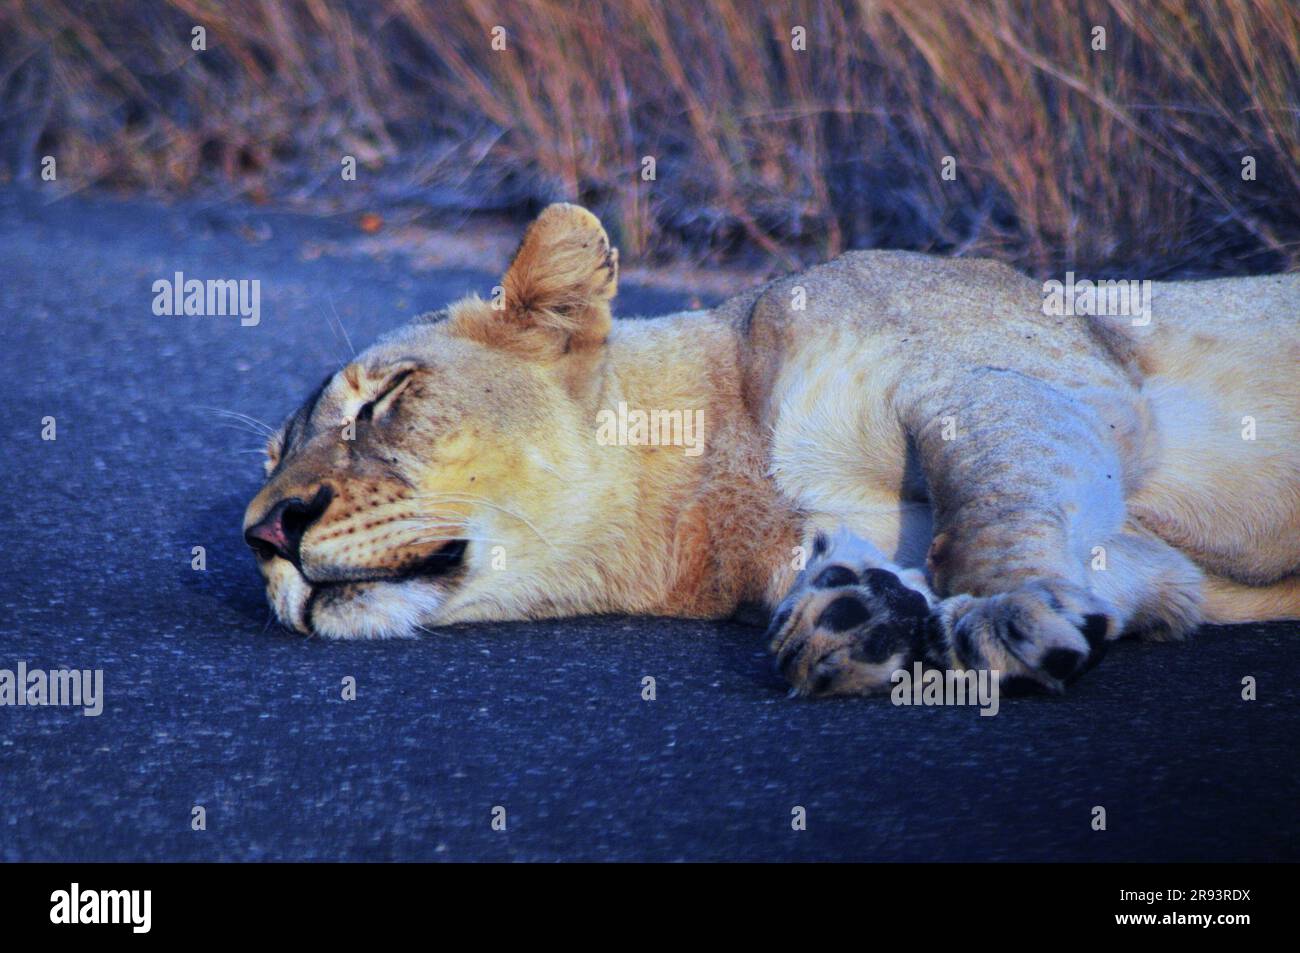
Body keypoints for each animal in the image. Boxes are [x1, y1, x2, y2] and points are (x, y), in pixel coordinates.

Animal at [243, 204, 1300, 696]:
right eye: (270, 462)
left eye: (384, 397)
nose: (264, 534)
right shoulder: (1156, 568)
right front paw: (855, 615)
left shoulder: (1039, 377)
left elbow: (986, 509)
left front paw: (1007, 610)